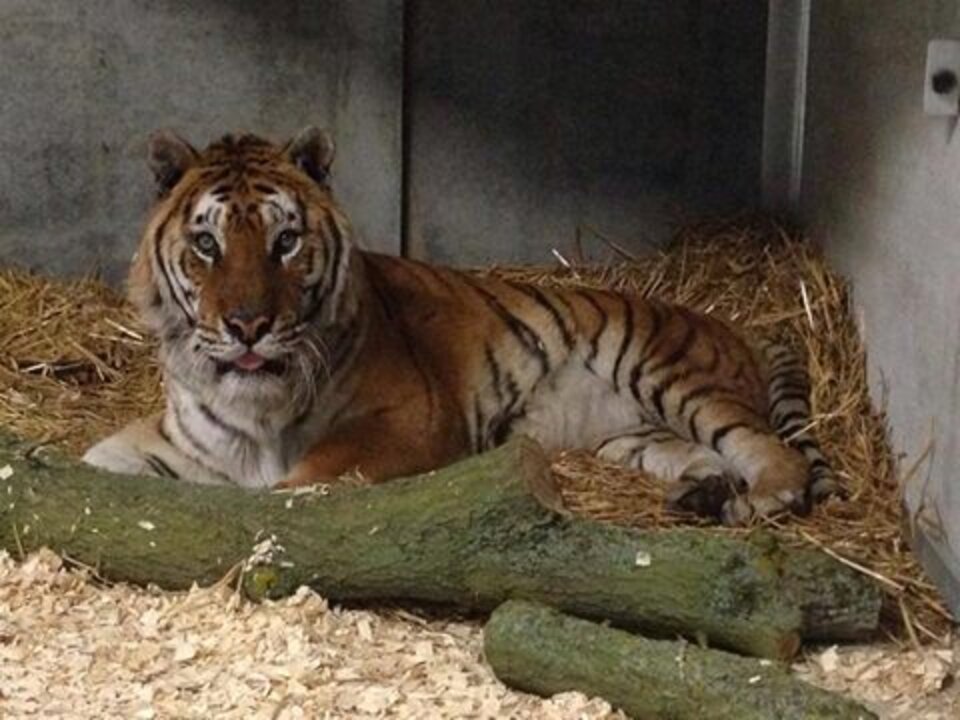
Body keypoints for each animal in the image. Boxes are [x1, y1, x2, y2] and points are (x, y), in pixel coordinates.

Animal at [82, 126, 838, 525]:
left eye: (285, 242)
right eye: (207, 245)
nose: (246, 326)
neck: (259, 403)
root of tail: (741, 329)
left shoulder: (408, 421)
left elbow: (306, 478)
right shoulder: (184, 438)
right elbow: (97, 463)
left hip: (670, 375)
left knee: (772, 451)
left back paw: (754, 500)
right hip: (634, 436)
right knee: (706, 455)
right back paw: (703, 494)